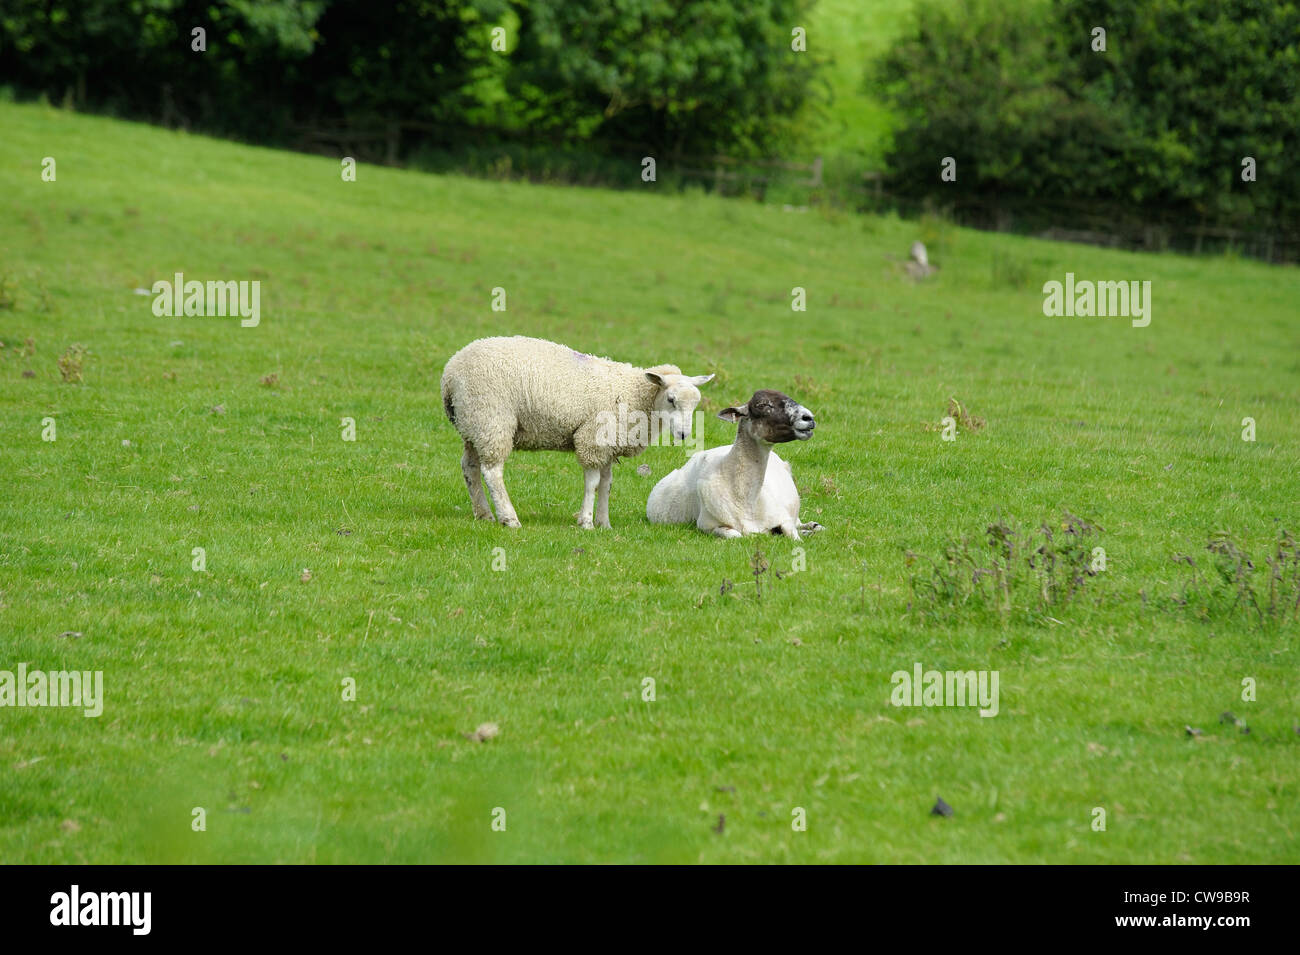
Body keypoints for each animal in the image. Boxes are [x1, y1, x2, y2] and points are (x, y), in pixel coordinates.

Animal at [441, 335, 713, 529]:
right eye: (671, 399)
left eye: (695, 404)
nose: (684, 434)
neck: (634, 395)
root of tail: (450, 372)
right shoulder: (592, 439)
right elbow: (592, 483)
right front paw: (587, 522)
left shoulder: (608, 444)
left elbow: (606, 484)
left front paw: (604, 523)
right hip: (492, 418)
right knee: (492, 471)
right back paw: (509, 518)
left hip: (473, 424)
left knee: (470, 467)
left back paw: (484, 514)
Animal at [646, 389, 824, 539]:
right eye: (762, 405)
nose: (809, 418)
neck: (746, 501)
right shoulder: (708, 525)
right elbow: (736, 535)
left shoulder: (784, 518)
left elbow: (793, 536)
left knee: (800, 523)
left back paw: (813, 526)